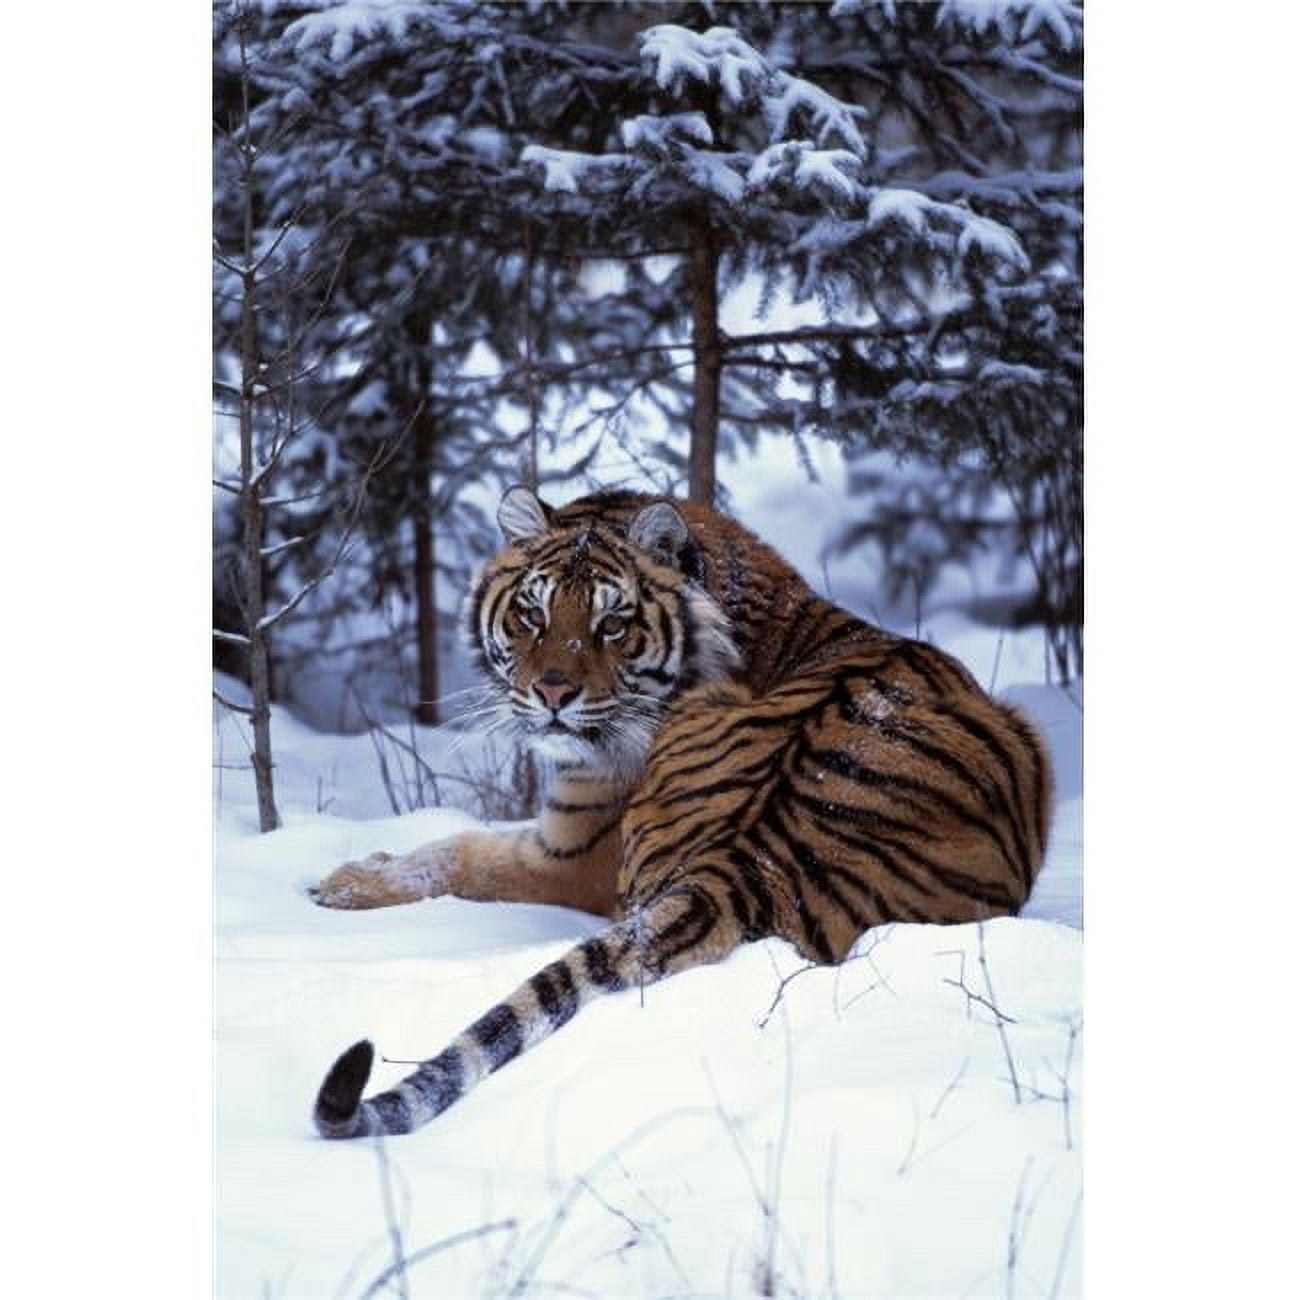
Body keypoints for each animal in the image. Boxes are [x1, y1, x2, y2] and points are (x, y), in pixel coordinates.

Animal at [308, 486, 1053, 1139]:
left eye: (612, 622)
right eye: (532, 615)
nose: (552, 693)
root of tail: (742, 863)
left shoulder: (572, 856)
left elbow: (462, 853)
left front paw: (341, 883)